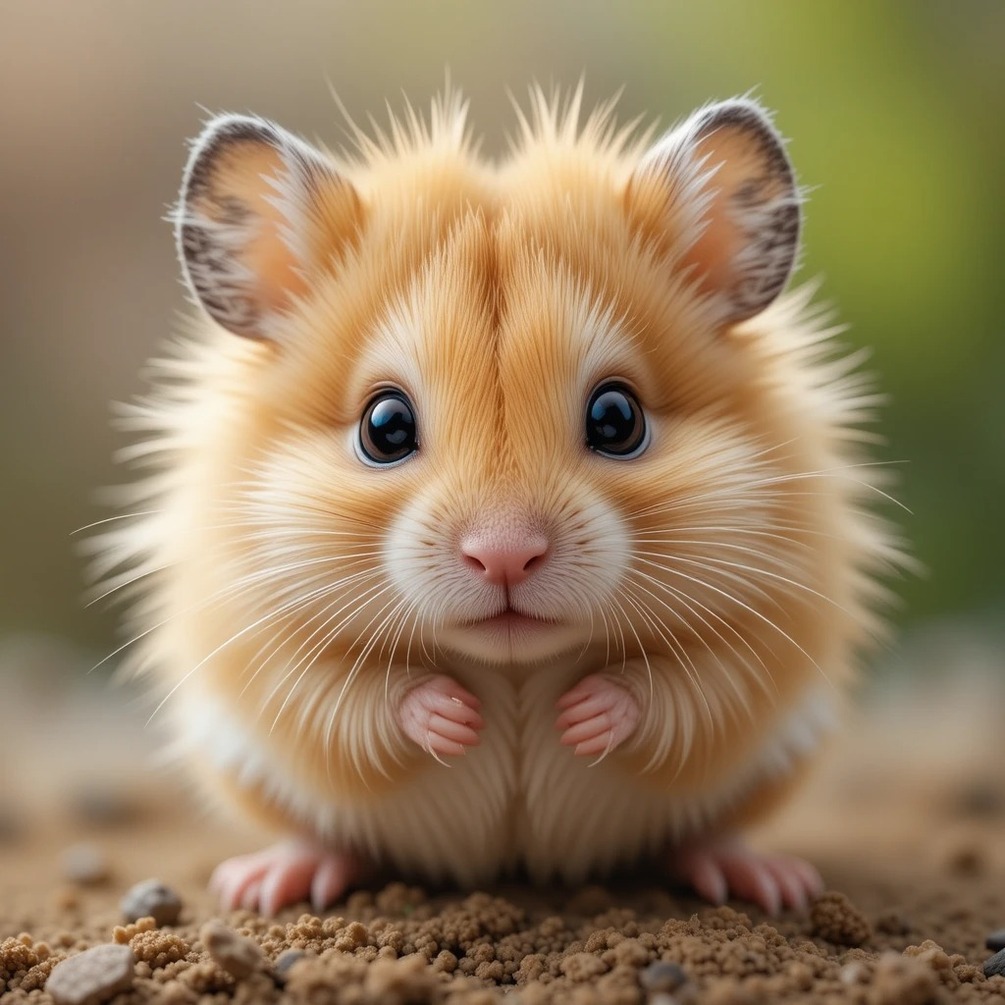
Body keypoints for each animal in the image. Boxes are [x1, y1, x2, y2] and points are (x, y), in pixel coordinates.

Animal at [96, 88, 899, 917]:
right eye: (384, 427)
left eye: (617, 418)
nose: (505, 555)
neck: (512, 664)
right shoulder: (255, 634)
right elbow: (353, 697)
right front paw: (458, 719)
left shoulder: (770, 620)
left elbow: (682, 687)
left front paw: (579, 717)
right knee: (321, 830)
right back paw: (267, 882)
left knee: (705, 828)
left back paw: (768, 881)